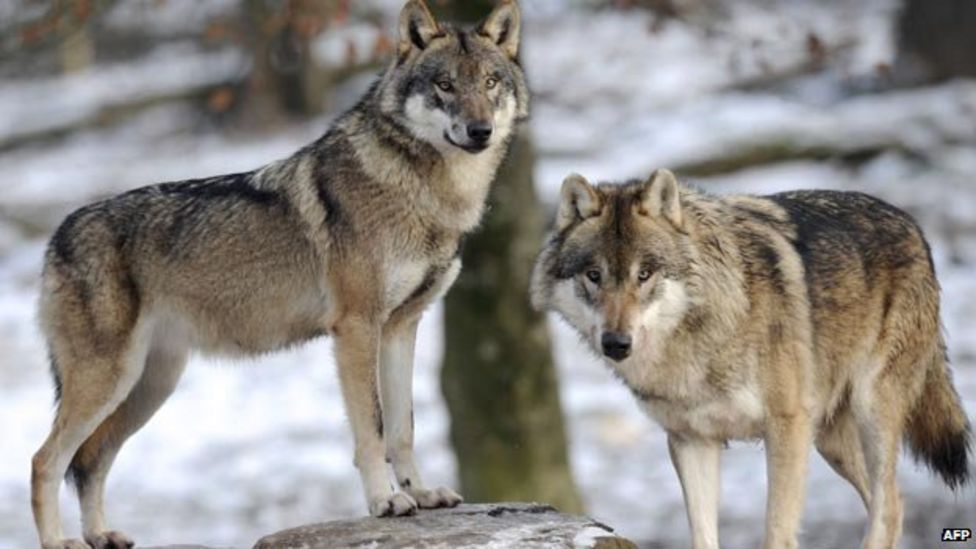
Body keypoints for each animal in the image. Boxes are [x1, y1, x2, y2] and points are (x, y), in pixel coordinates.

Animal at [30, 1, 528, 547]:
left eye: (489, 82)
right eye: (444, 84)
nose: (479, 131)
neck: (427, 195)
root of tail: (57, 236)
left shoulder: (401, 327)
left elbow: (403, 428)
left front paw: (421, 493)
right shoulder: (356, 329)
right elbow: (372, 429)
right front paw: (385, 502)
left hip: (148, 387)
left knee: (91, 460)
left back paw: (101, 535)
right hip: (109, 382)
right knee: (45, 461)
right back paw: (61, 540)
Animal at [530, 169, 971, 549]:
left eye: (645, 274)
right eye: (594, 275)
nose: (616, 343)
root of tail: (912, 224)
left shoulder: (787, 428)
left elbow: (777, 530)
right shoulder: (692, 440)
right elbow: (703, 535)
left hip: (869, 411)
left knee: (888, 505)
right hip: (830, 440)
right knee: (894, 501)